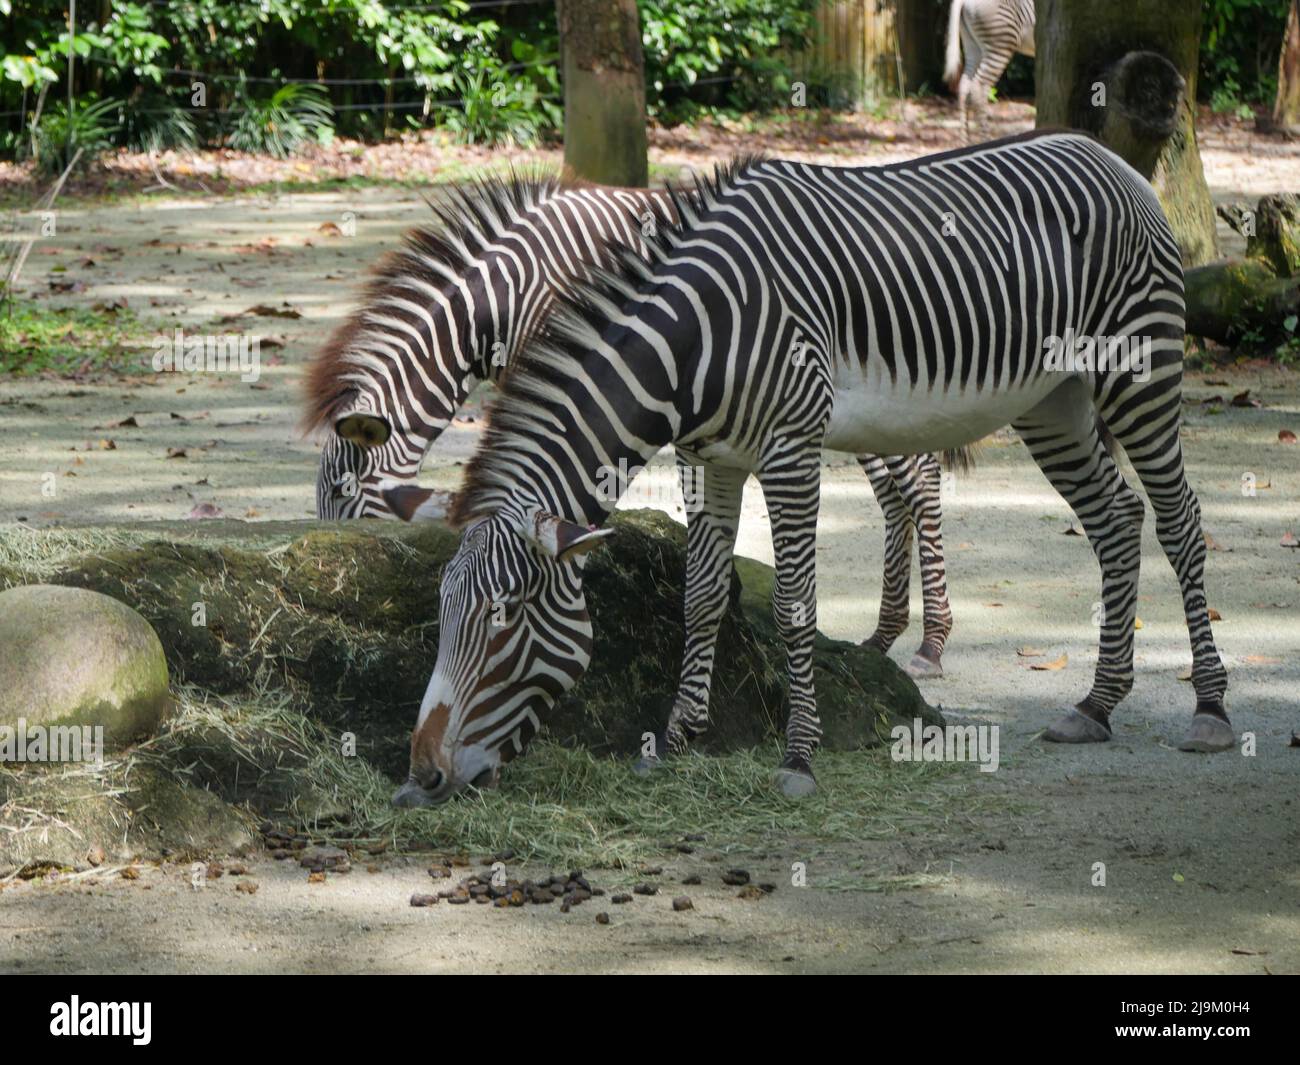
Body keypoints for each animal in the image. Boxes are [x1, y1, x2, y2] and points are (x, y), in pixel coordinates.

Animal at [304, 174, 955, 678]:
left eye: (341, 494)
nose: (337, 559)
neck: (502, 298)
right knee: (895, 490)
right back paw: (882, 636)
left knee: (920, 482)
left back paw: (930, 644)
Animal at [390, 131, 1233, 807]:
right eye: (443, 613)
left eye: (503, 620)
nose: (423, 774)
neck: (694, 339)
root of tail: (1107, 154)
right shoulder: (707, 460)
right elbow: (702, 598)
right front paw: (678, 738)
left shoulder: (791, 448)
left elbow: (796, 607)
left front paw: (798, 756)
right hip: (1051, 399)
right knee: (1116, 519)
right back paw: (1096, 704)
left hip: (1137, 368)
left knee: (1180, 520)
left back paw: (1210, 710)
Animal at [944, 0, 1036, 138]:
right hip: (1000, 44)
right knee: (978, 86)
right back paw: (985, 136)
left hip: (972, 46)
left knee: (964, 85)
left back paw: (965, 139)